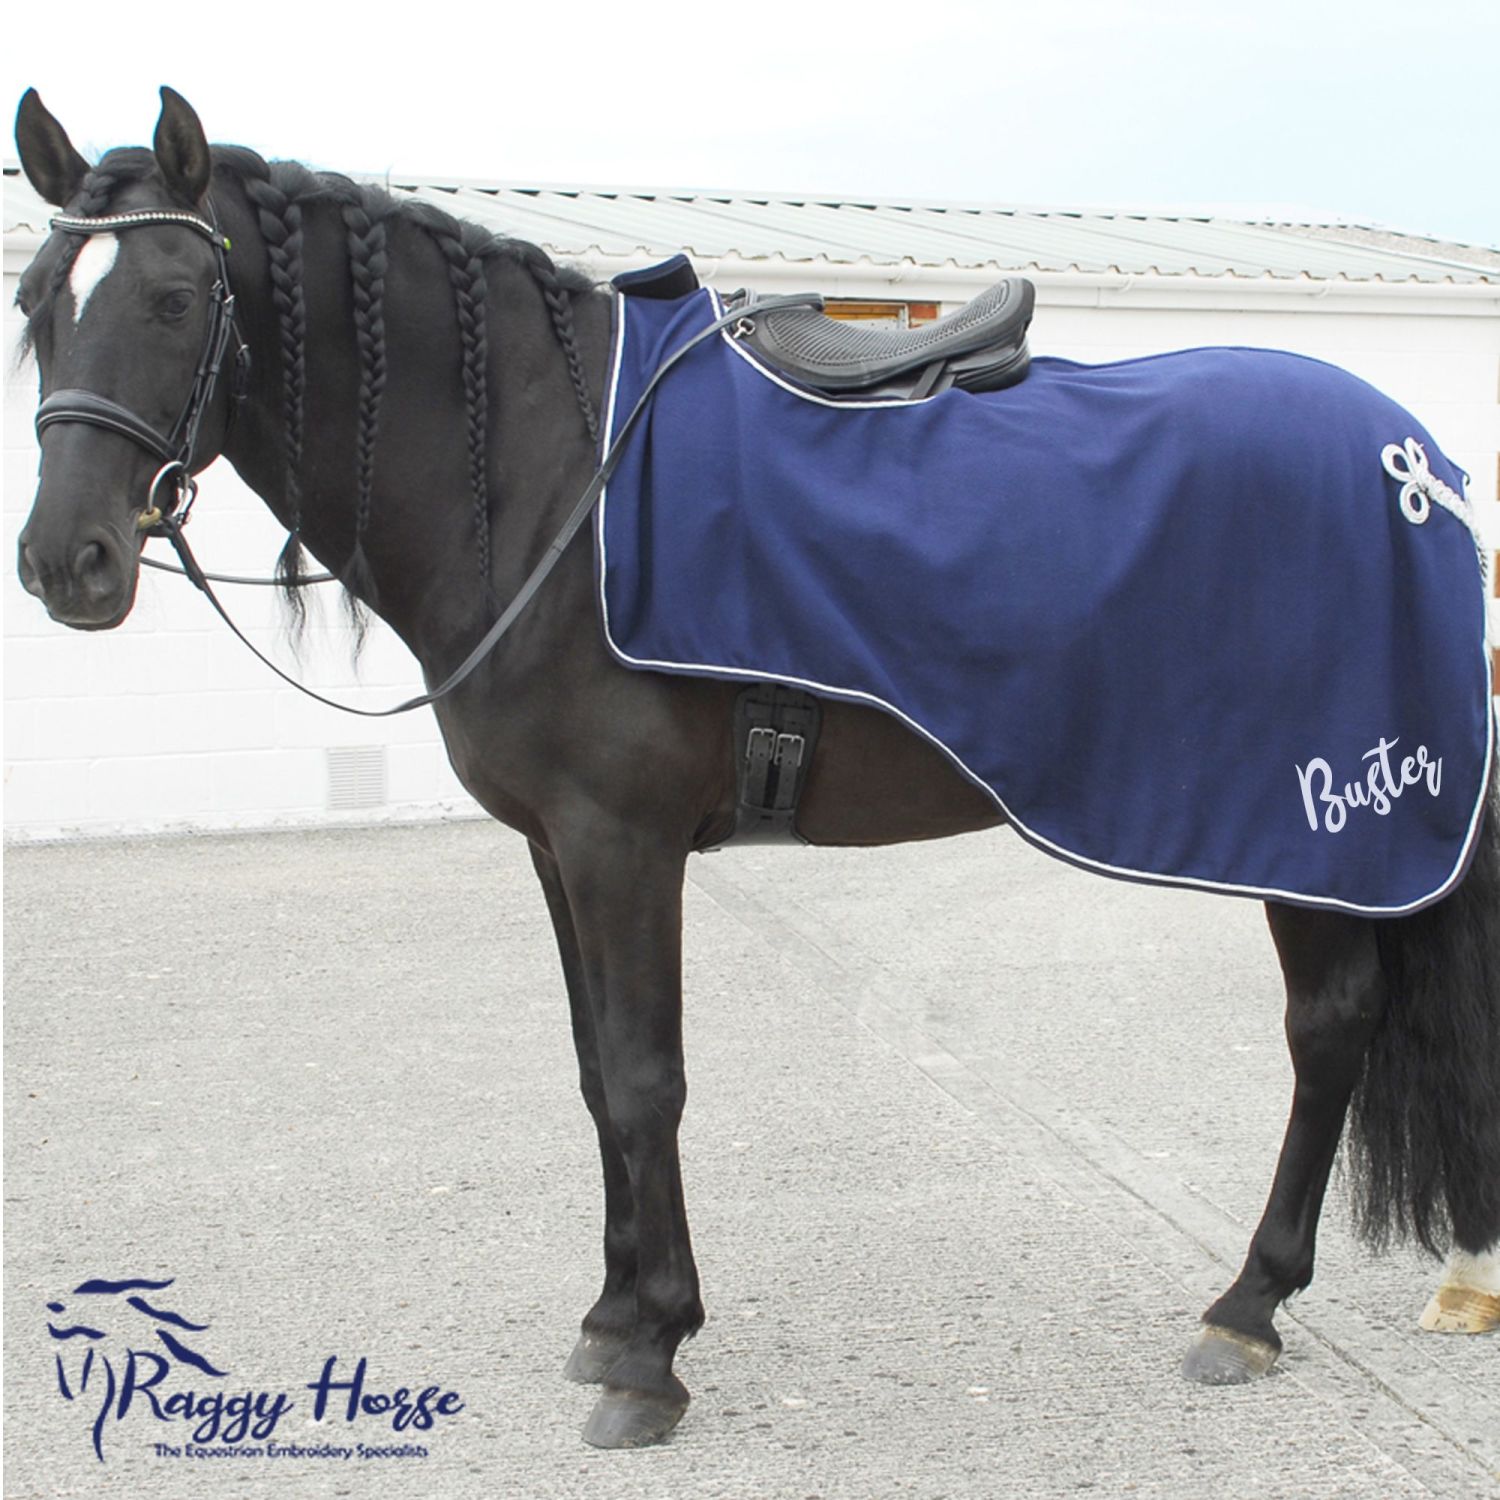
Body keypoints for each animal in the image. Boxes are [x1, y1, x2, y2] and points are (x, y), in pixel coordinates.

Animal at [13, 86, 1499, 1449]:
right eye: (36, 304)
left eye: (172, 298)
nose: (63, 562)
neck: (552, 485)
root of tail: (1414, 464)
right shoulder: (555, 846)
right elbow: (593, 1075)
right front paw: (612, 1314)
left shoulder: (621, 841)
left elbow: (645, 1076)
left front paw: (650, 1352)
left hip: (1308, 826)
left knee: (1327, 1028)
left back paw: (1248, 1306)